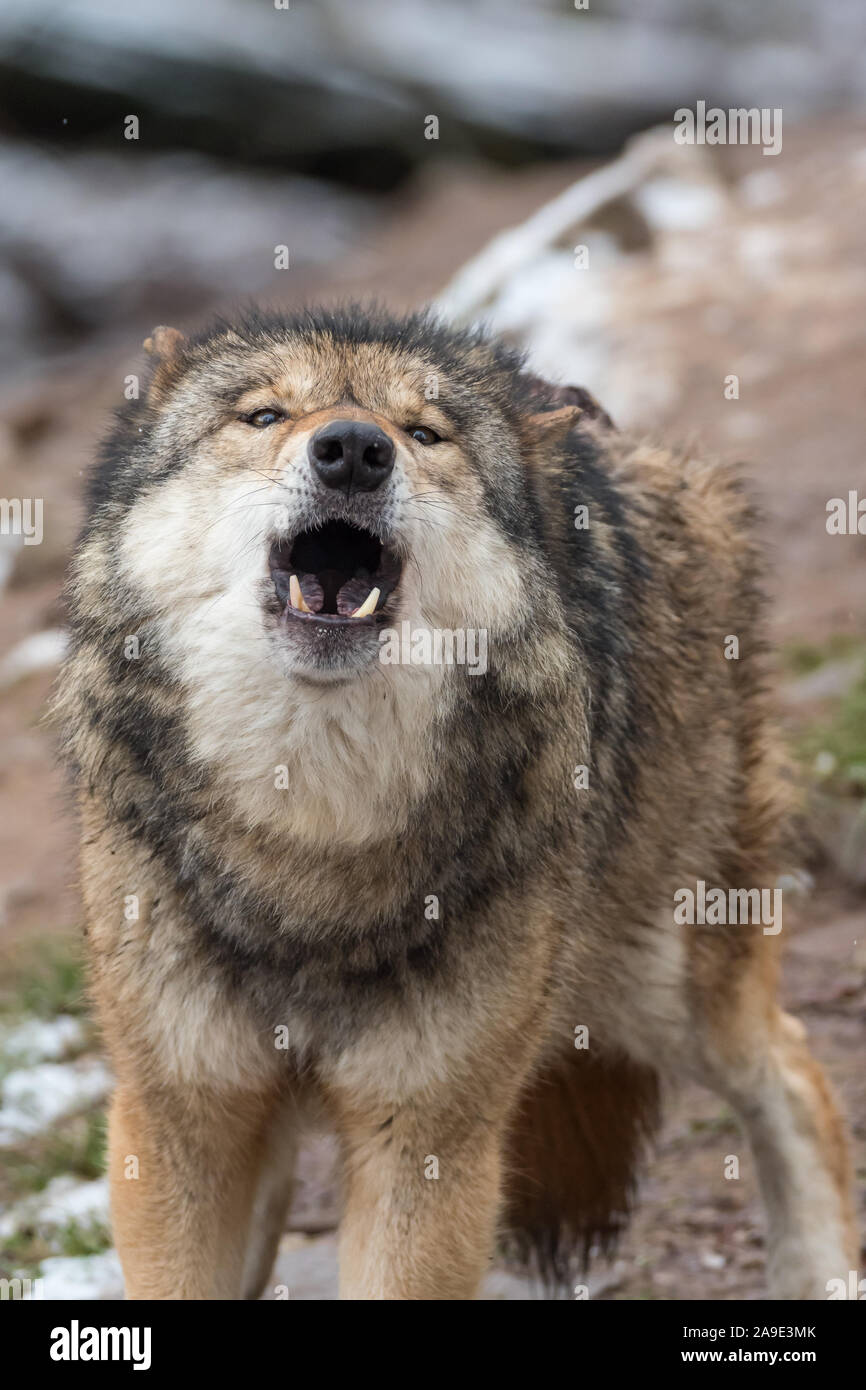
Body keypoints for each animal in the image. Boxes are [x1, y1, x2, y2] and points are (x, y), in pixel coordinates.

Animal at [55, 306, 856, 1300]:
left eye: (425, 433)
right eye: (264, 415)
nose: (353, 449)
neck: (308, 834)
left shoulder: (429, 1139)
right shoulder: (179, 1121)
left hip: (659, 984)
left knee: (797, 1073)